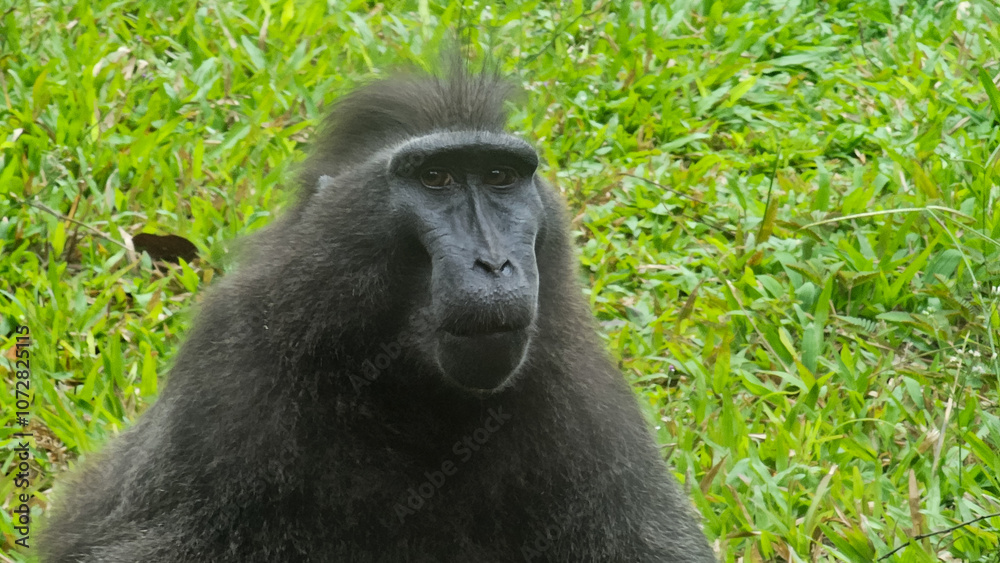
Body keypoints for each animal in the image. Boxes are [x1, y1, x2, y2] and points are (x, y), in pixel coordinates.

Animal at [40, 68, 716, 563]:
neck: (408, 390)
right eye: (436, 178)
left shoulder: (581, 390)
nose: (494, 264)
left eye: (500, 178)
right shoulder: (233, 370)